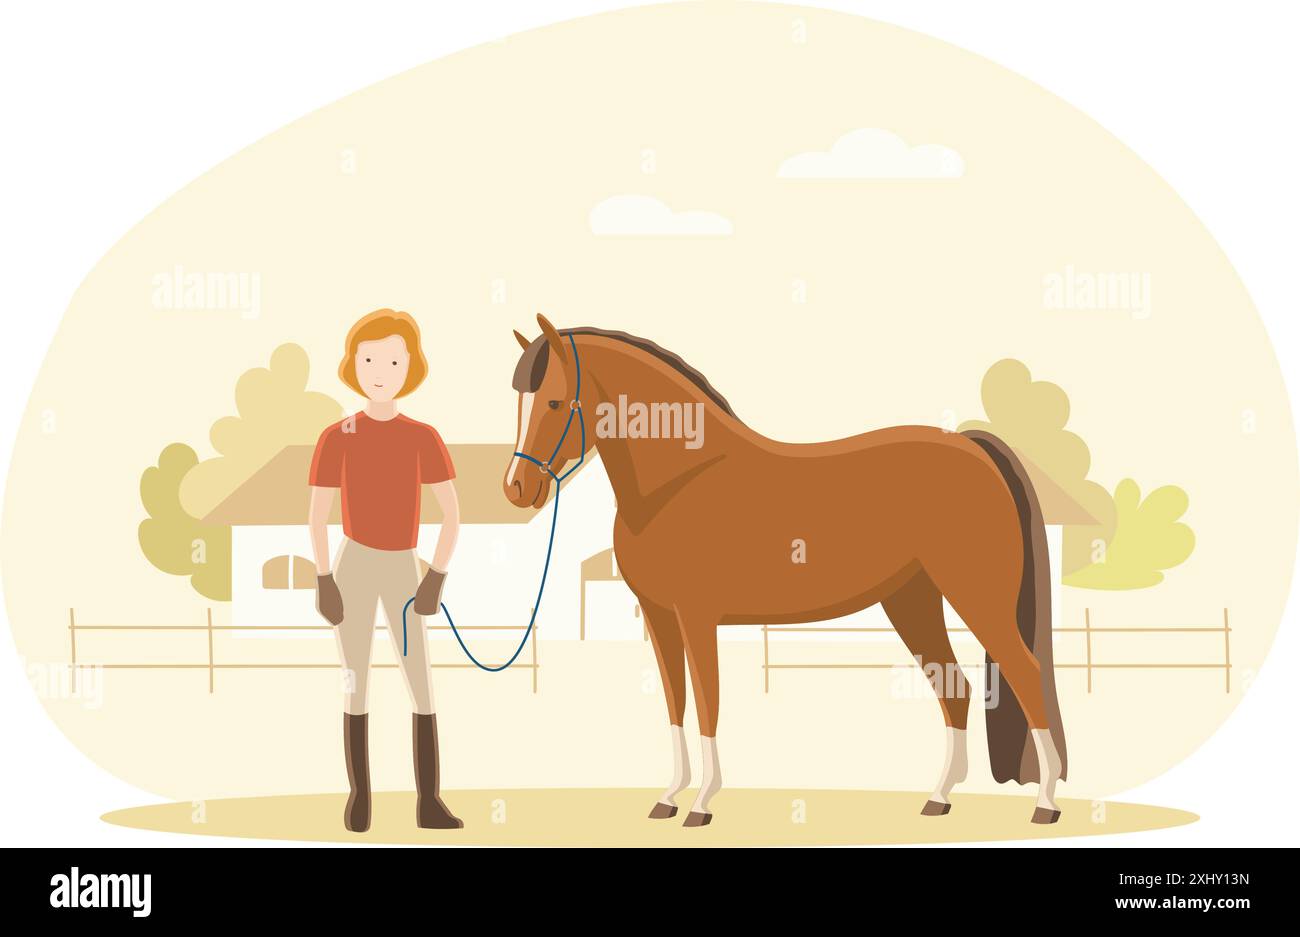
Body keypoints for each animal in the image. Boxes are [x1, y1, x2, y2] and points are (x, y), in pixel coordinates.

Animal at [502, 314, 1068, 827]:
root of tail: (974, 446)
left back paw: (1044, 804)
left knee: (1026, 674)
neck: (679, 481)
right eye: (519, 402)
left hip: (976, 598)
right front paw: (667, 798)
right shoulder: (660, 618)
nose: (517, 488)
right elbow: (675, 703)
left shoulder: (697, 617)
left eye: (554, 402)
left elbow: (707, 703)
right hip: (912, 601)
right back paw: (939, 799)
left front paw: (702, 804)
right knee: (955, 688)